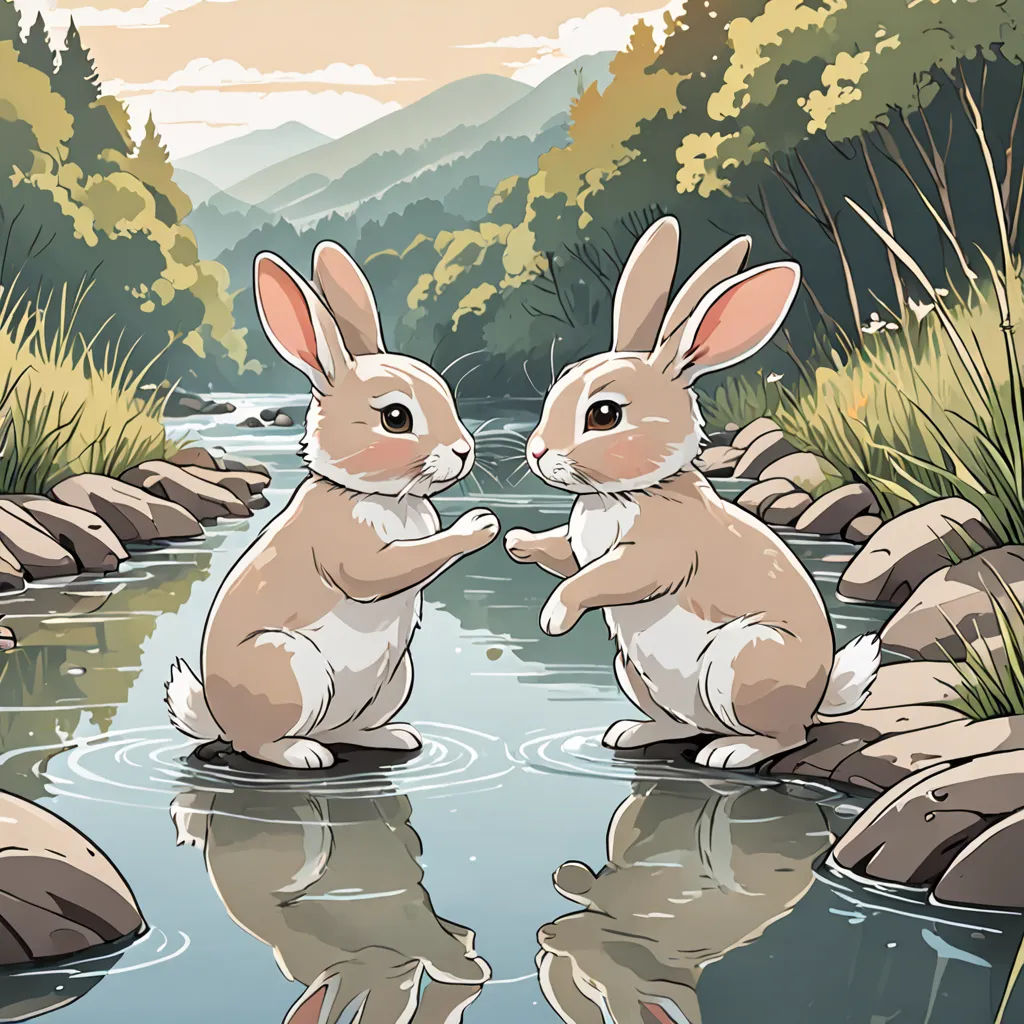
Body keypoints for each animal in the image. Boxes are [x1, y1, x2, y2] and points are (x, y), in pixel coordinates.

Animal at [166, 240, 500, 769]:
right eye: (396, 417)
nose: (464, 451)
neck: (372, 492)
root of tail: (217, 715)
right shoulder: (351, 552)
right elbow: (394, 566)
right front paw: (479, 524)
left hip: (394, 677)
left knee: (348, 730)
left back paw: (395, 737)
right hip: (287, 667)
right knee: (255, 743)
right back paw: (304, 755)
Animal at [505, 215, 880, 770]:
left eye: (604, 414)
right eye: (561, 384)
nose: (536, 452)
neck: (626, 492)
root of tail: (818, 696)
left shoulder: (659, 554)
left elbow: (601, 578)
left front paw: (553, 616)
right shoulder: (583, 548)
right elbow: (564, 554)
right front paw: (518, 541)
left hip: (744, 663)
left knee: (788, 735)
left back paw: (731, 753)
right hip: (632, 671)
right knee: (680, 725)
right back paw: (630, 733)